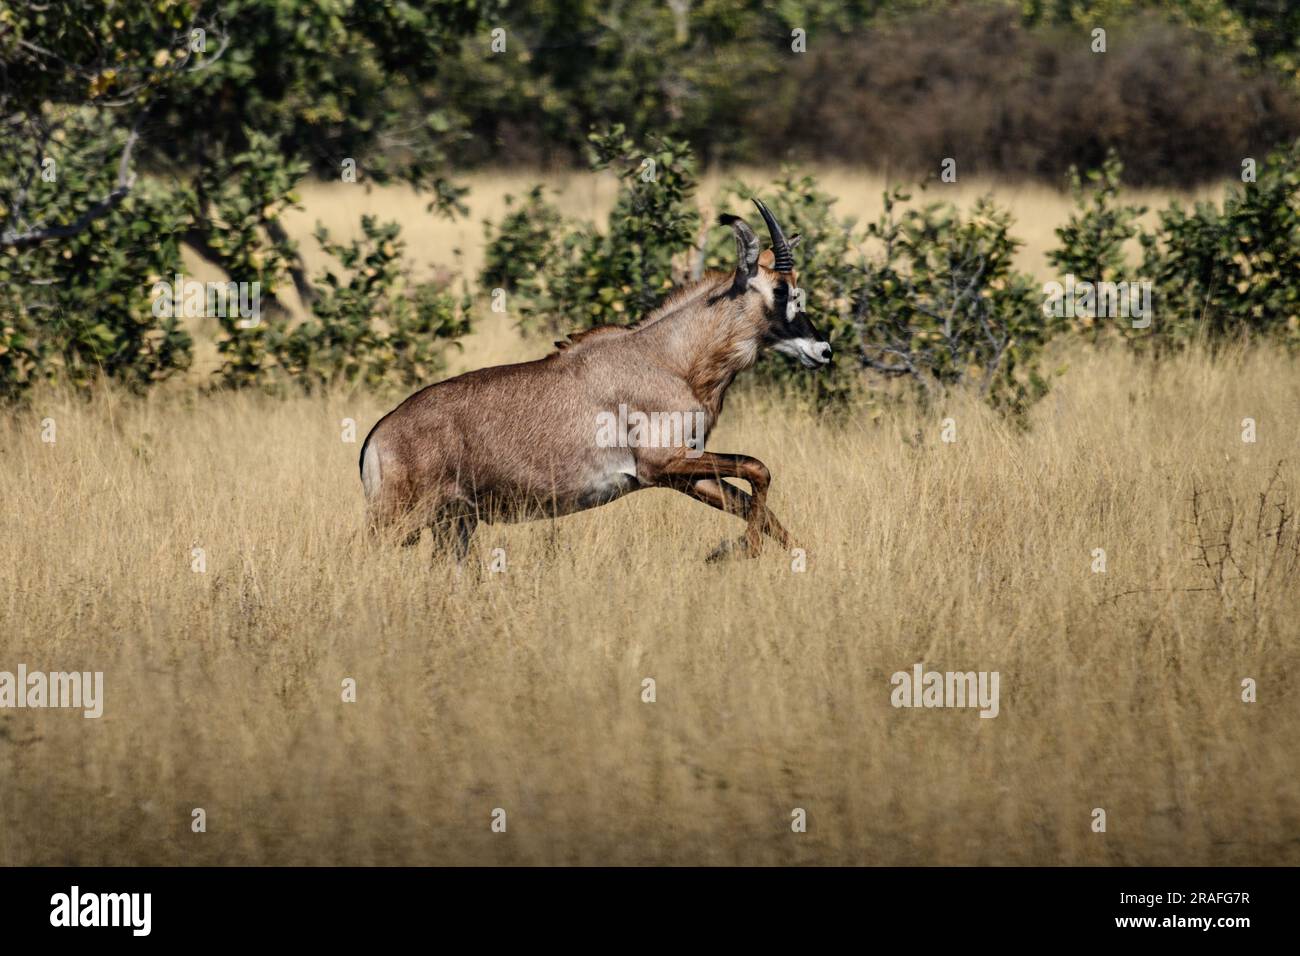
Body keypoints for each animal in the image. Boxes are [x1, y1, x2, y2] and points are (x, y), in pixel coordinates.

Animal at [359, 199, 832, 562]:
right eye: (782, 292)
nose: (823, 349)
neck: (670, 359)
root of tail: (376, 437)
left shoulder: (681, 472)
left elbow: (753, 502)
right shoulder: (663, 462)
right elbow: (758, 469)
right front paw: (737, 551)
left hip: (453, 523)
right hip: (398, 520)